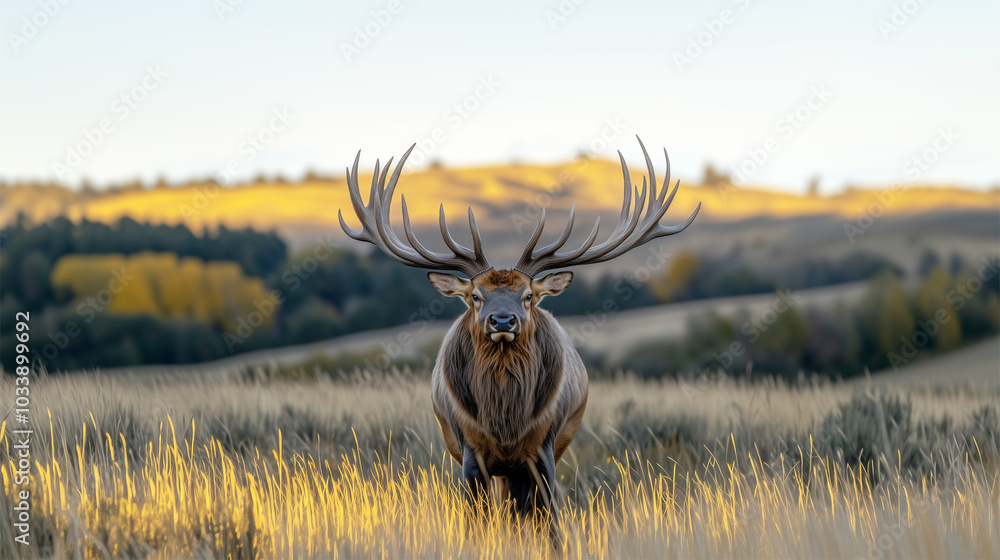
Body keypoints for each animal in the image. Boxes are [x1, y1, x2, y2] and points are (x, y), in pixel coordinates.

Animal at [338, 137, 700, 532]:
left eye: (528, 296)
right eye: (475, 296)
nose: (502, 321)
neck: (505, 423)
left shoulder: (542, 449)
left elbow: (546, 519)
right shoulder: (471, 451)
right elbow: (478, 519)